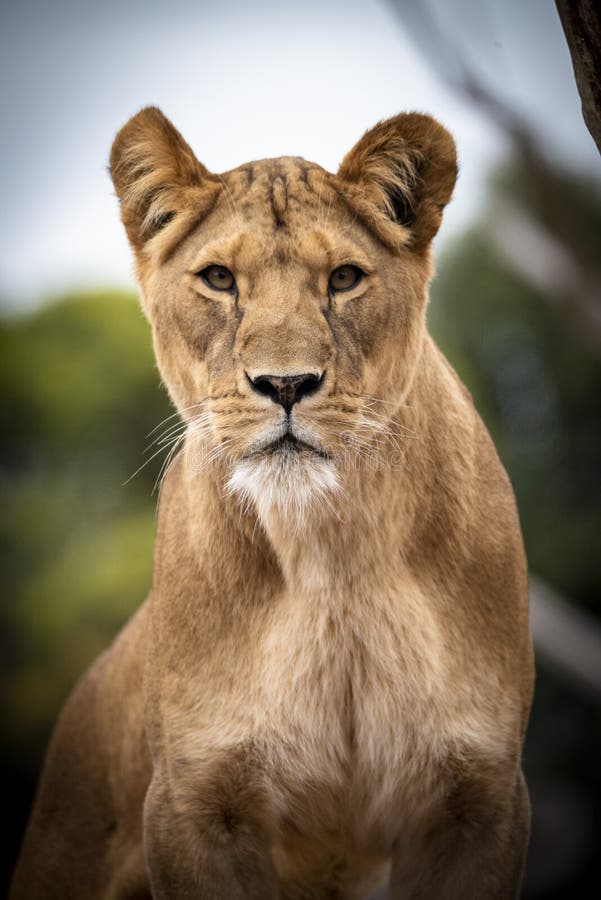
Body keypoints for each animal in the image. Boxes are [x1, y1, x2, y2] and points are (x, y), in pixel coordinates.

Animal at [11, 107, 534, 899]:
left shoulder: (480, 799)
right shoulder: (196, 804)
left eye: (344, 278)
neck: (333, 549)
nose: (285, 384)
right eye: (219, 279)